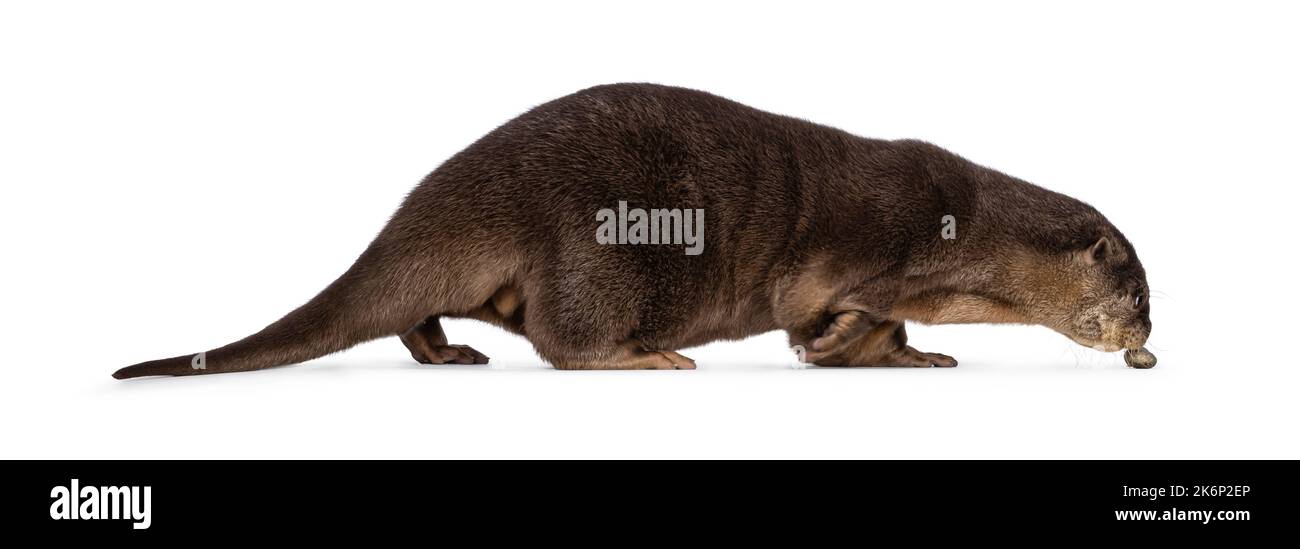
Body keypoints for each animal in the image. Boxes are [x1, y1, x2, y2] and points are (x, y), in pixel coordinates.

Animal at [113, 83, 1153, 379]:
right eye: (1138, 291)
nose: (1147, 335)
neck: (959, 233)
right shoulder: (865, 251)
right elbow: (829, 309)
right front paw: (836, 344)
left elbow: (892, 332)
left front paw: (913, 357)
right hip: (605, 250)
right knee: (562, 339)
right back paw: (646, 356)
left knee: (433, 313)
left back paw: (447, 354)